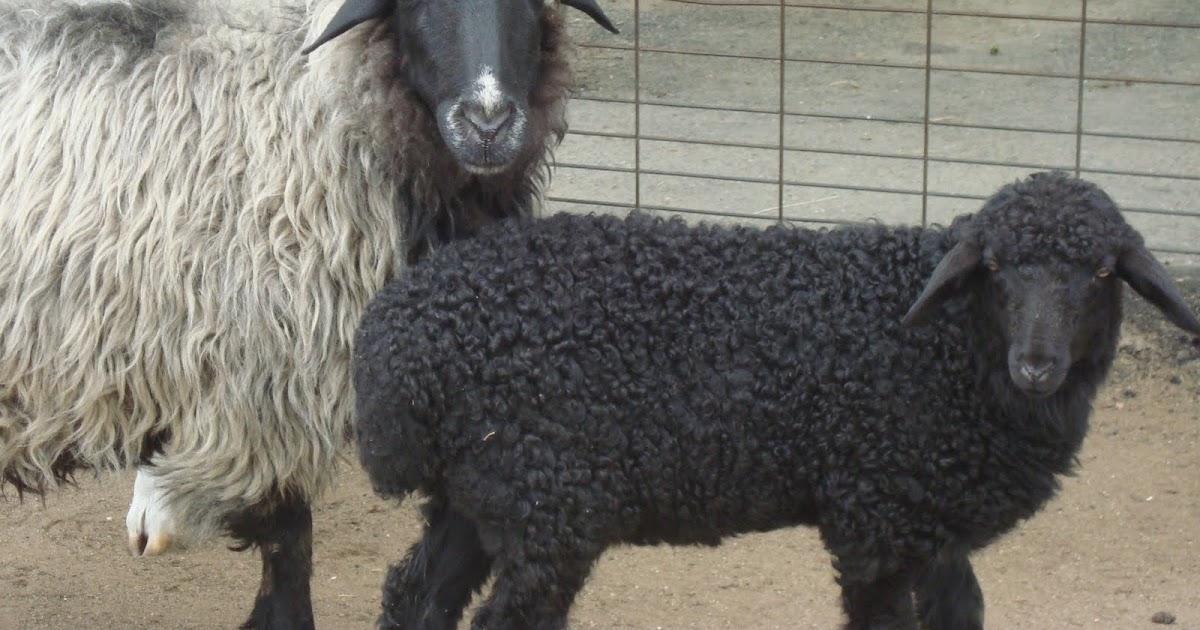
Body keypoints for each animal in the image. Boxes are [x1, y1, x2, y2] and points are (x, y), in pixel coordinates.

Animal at [351, 171, 1200, 630]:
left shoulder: (932, 523)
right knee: (506, 615)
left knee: (415, 593)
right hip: (544, 501)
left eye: (1101, 273)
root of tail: (396, 338)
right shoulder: (875, 518)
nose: (1037, 366)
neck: (949, 347)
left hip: (479, 492)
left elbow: (962, 612)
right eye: (992, 266)